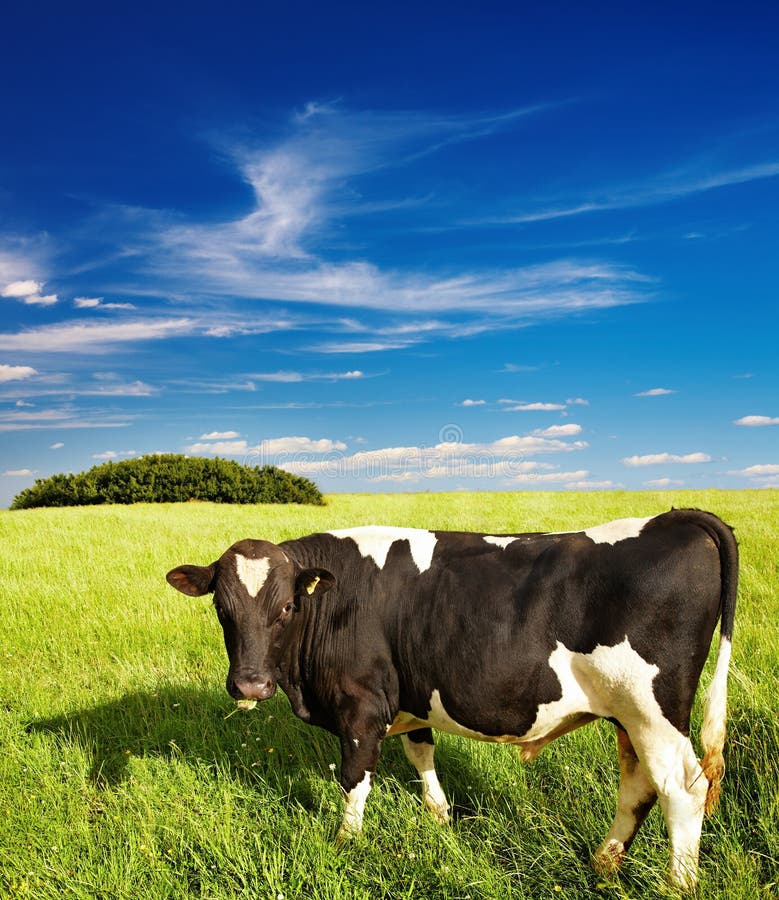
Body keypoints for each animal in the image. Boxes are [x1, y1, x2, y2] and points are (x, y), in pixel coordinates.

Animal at [166, 509, 737, 890]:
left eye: (286, 607)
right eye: (221, 608)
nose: (250, 686)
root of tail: (672, 518)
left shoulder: (361, 706)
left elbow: (355, 778)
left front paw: (345, 844)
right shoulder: (410, 696)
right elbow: (421, 753)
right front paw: (440, 820)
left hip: (653, 711)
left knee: (682, 790)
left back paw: (678, 884)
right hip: (628, 716)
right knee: (638, 787)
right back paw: (603, 863)